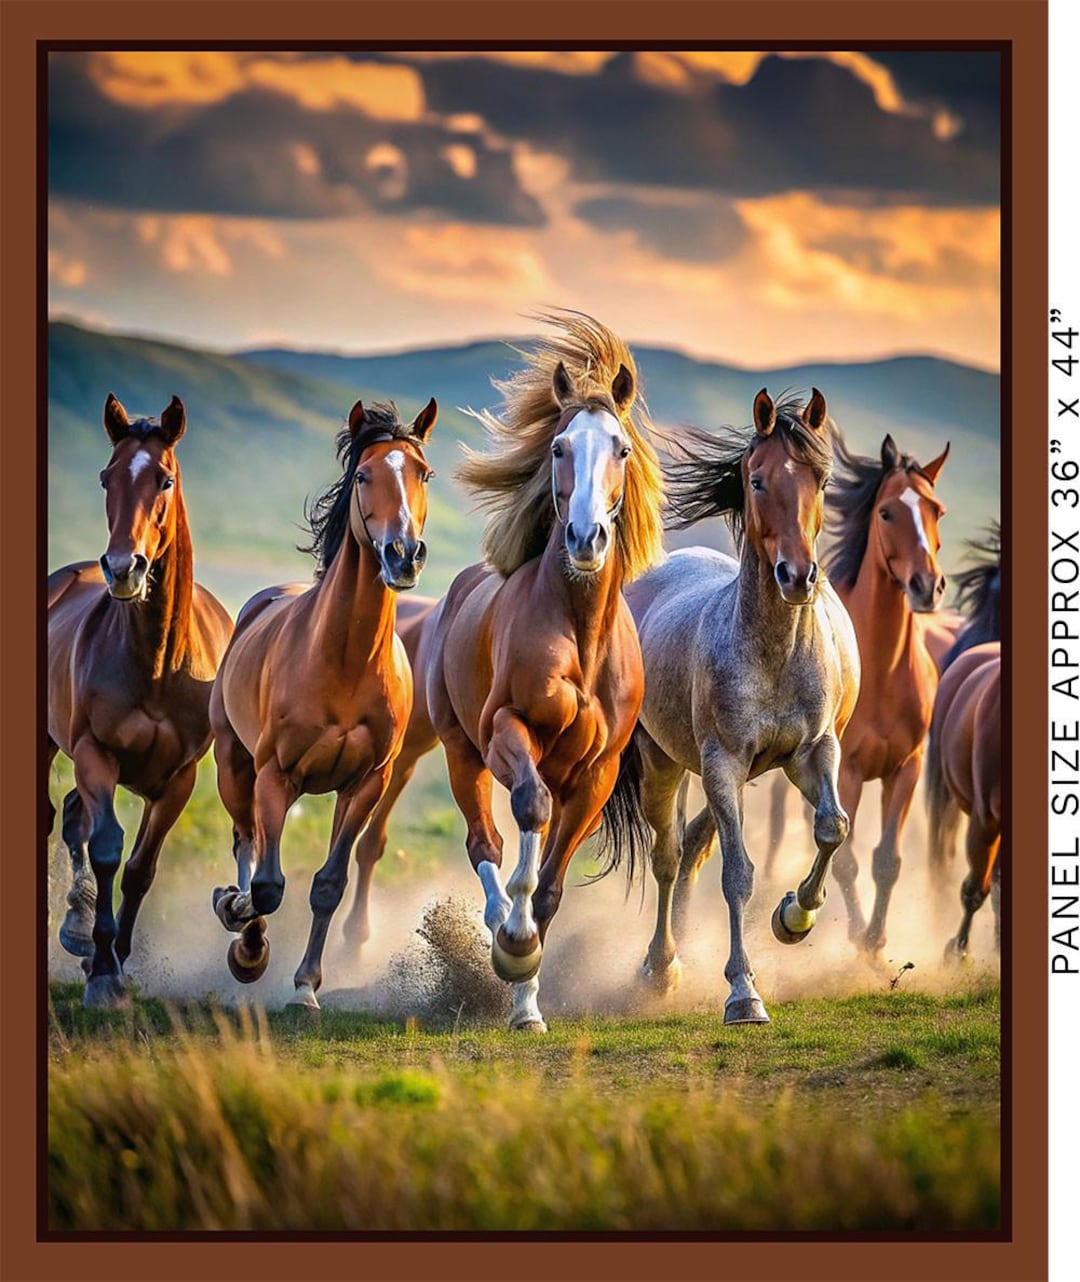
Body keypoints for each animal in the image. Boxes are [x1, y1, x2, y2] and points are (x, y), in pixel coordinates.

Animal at [47, 394, 233, 1008]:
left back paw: (79, 931)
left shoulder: (178, 779)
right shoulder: (94, 754)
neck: (156, 662)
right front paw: (103, 975)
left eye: (164, 479)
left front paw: (114, 959)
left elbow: (140, 870)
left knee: (73, 816)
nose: (123, 568)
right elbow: (106, 849)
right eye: (106, 477)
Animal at [209, 397, 437, 1008]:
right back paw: (237, 923)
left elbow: (328, 885)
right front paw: (246, 942)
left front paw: (306, 986)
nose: (403, 554)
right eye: (363, 475)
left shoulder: (365, 785)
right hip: (233, 766)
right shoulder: (275, 775)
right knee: (247, 844)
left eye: (422, 473)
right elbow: (267, 885)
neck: (343, 661)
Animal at [424, 311, 664, 1032]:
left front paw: (528, 1001)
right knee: (485, 845)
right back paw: (501, 926)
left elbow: (553, 887)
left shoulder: (596, 775)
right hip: (462, 752)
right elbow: (527, 815)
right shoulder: (509, 728)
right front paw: (515, 948)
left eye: (620, 448)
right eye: (559, 446)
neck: (579, 636)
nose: (586, 538)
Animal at [625, 389, 860, 1024]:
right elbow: (737, 874)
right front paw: (743, 992)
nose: (797, 576)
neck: (772, 653)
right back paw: (660, 968)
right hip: (665, 764)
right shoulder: (724, 764)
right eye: (756, 480)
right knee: (668, 855)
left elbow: (832, 827)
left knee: (690, 848)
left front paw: (795, 916)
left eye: (822, 479)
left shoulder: (813, 752)